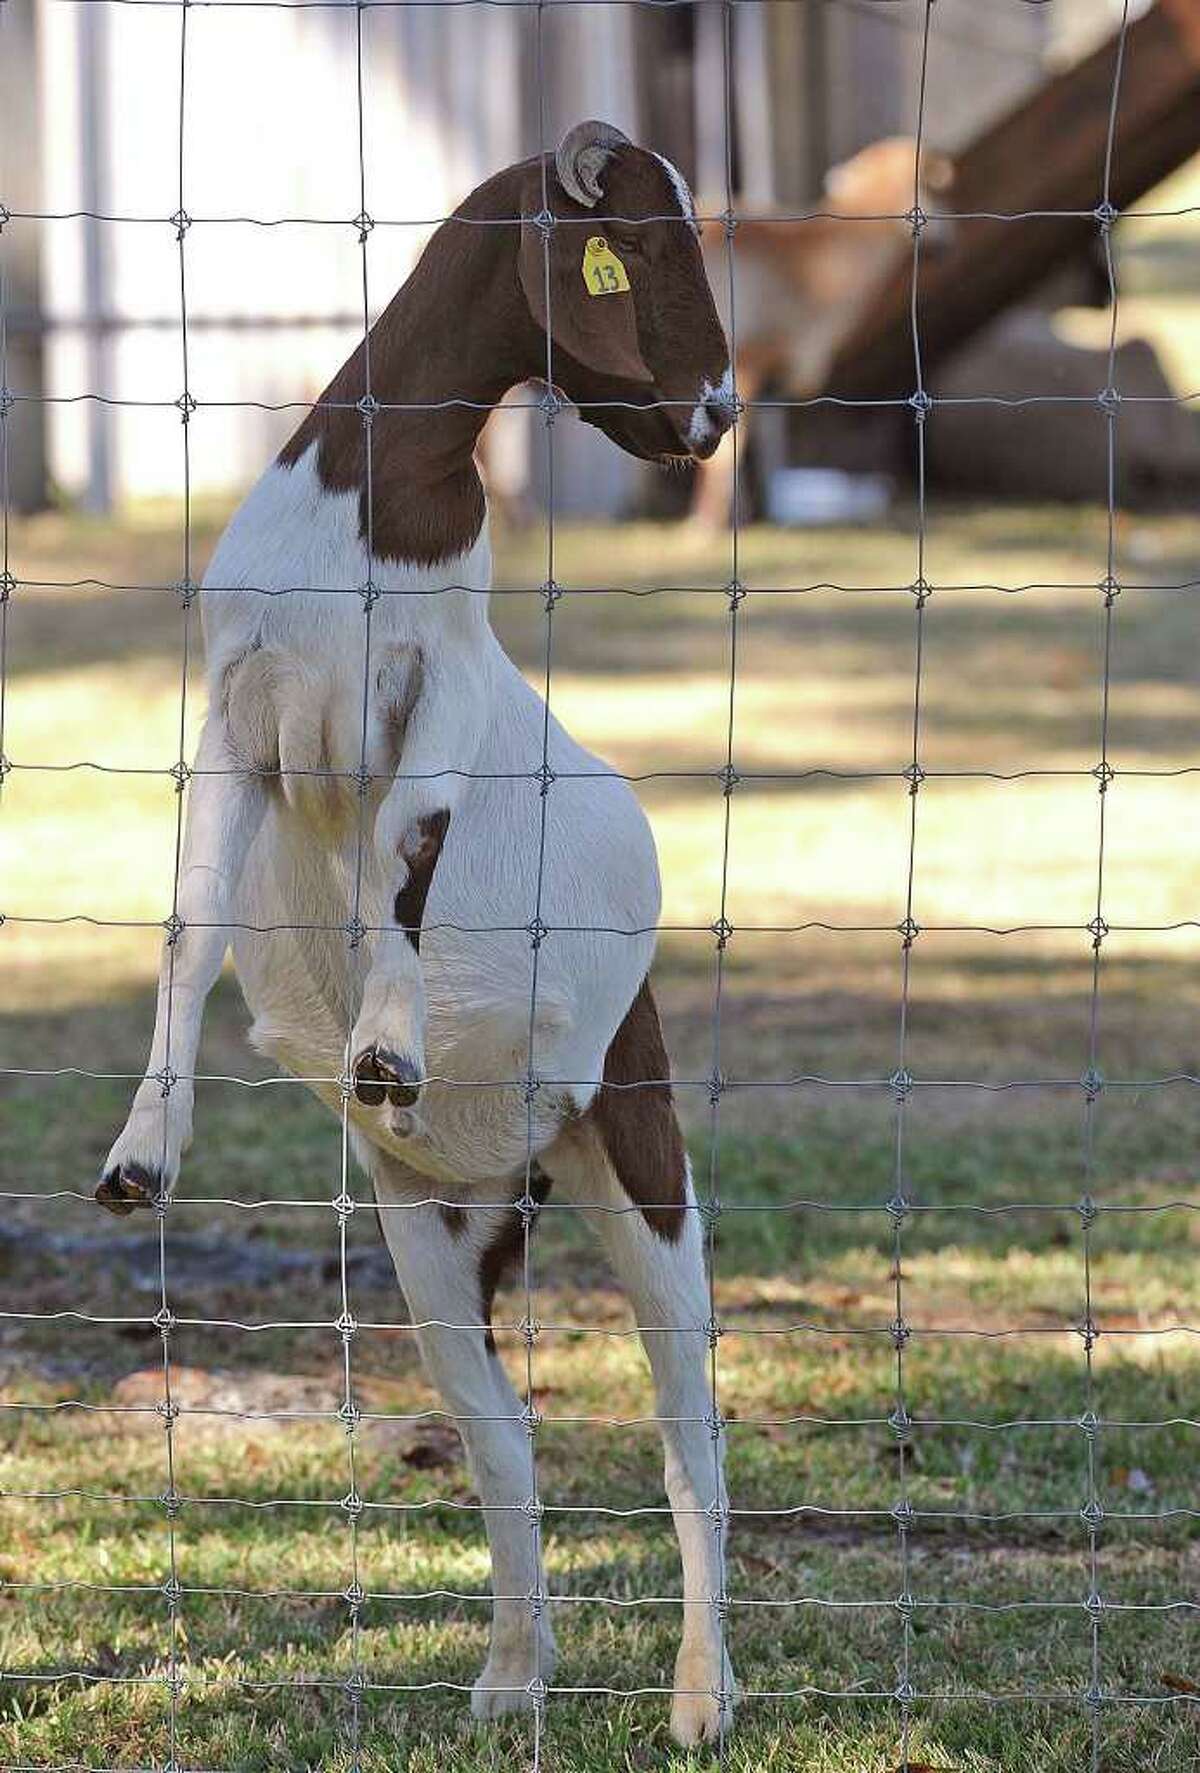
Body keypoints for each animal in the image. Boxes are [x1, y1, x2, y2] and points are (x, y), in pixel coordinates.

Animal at [96, 122, 735, 1746]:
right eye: (635, 247)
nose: (717, 412)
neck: (380, 500)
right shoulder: (239, 714)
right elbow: (190, 921)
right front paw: (141, 1160)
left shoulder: (426, 686)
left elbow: (409, 848)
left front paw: (386, 1044)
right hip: (430, 1226)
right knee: (497, 1435)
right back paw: (510, 1682)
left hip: (638, 1143)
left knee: (686, 1425)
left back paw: (704, 1705)